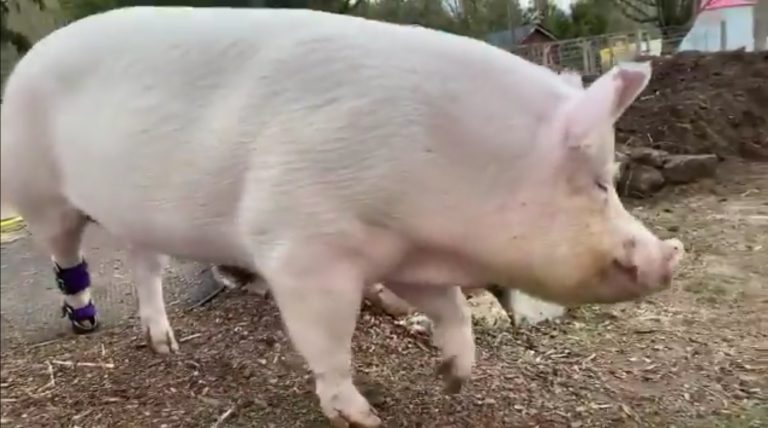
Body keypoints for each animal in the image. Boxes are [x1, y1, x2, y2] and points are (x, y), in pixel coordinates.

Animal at [0, 6, 684, 427]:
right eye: (598, 182)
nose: (670, 255)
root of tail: (31, 58)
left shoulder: (407, 257)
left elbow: (453, 310)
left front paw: (452, 379)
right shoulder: (303, 253)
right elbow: (329, 342)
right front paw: (365, 417)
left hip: (141, 218)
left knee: (147, 266)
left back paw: (164, 345)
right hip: (39, 193)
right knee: (67, 257)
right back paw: (84, 319)